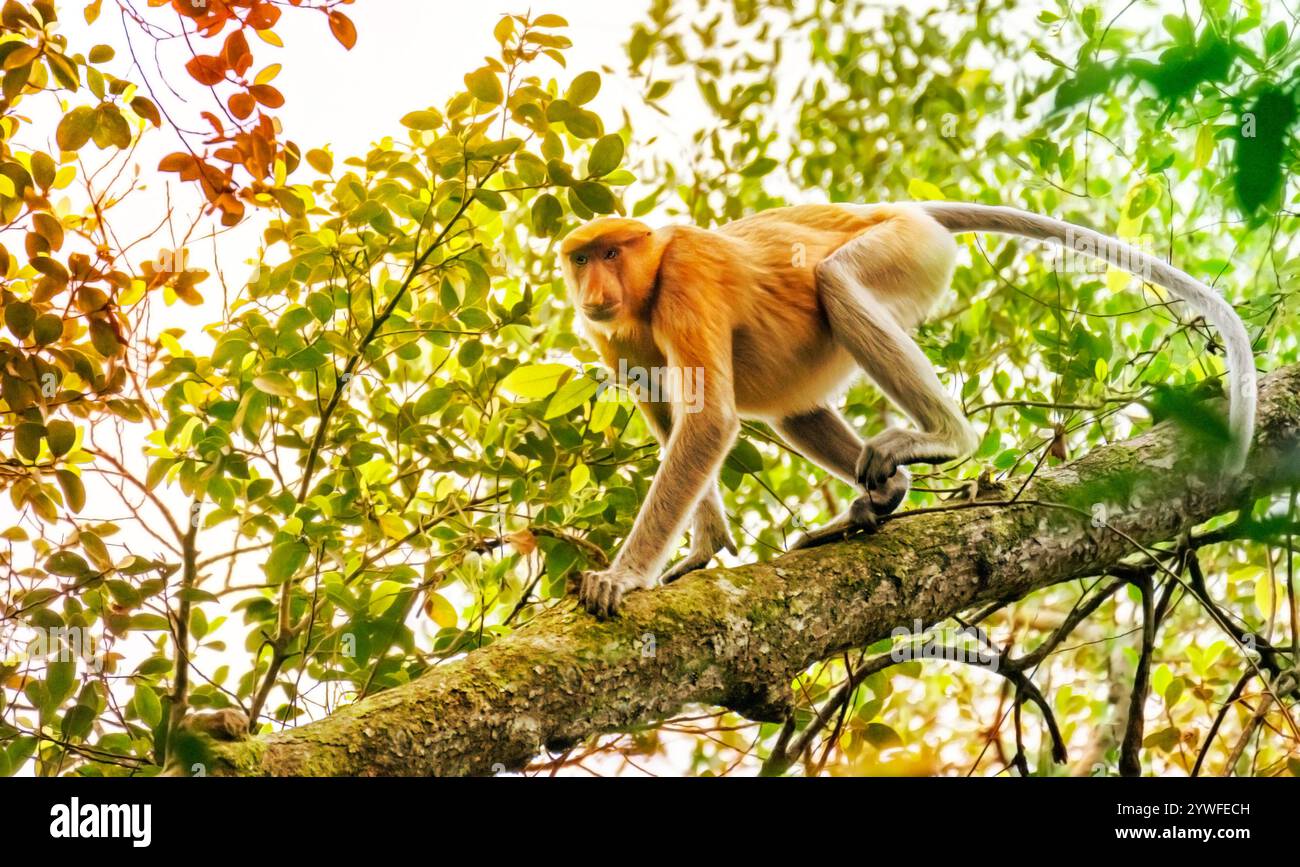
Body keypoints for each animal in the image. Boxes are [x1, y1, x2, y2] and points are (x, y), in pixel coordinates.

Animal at [559, 202, 1257, 617]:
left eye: (612, 253)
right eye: (581, 258)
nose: (591, 290)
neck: (649, 283)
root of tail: (899, 208)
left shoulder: (687, 276)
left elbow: (707, 422)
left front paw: (623, 578)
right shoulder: (609, 335)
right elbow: (670, 416)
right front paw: (702, 549)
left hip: (907, 247)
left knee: (838, 280)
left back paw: (942, 441)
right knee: (791, 406)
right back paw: (880, 498)